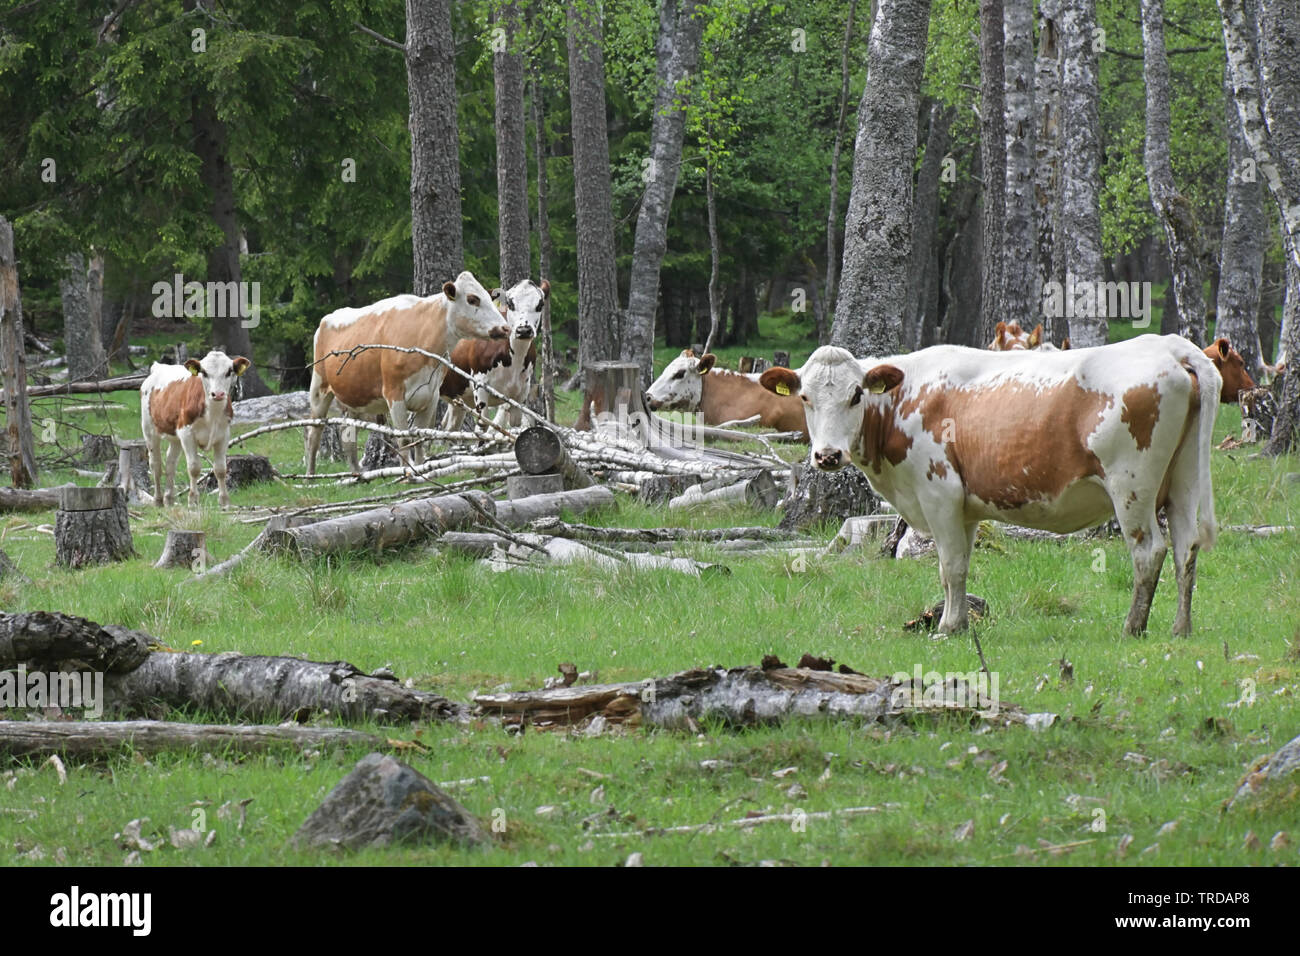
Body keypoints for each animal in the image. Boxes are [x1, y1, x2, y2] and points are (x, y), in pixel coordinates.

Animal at [140, 350, 250, 507]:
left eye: (229, 371)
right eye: (204, 372)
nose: (218, 394)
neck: (212, 415)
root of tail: (159, 367)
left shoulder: (224, 435)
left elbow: (221, 469)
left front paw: (224, 501)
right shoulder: (187, 434)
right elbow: (194, 468)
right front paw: (193, 500)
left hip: (175, 436)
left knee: (170, 463)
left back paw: (169, 498)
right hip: (149, 430)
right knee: (156, 465)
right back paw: (158, 500)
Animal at [304, 271, 509, 474]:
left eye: (489, 297)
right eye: (473, 299)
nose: (505, 327)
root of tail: (328, 318)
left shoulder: (431, 396)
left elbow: (419, 439)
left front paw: (420, 469)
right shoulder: (394, 395)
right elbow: (404, 439)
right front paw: (407, 474)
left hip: (354, 396)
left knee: (347, 435)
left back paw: (356, 474)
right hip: (319, 388)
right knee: (314, 434)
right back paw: (310, 475)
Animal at [759, 335, 1221, 637]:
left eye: (856, 395)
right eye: (805, 398)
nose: (828, 456)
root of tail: (1169, 344)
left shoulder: (938, 493)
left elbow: (949, 565)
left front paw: (946, 627)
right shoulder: (964, 506)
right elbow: (958, 568)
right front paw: (959, 622)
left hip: (1131, 486)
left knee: (1150, 551)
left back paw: (1132, 627)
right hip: (1181, 484)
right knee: (1186, 547)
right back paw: (1181, 628)